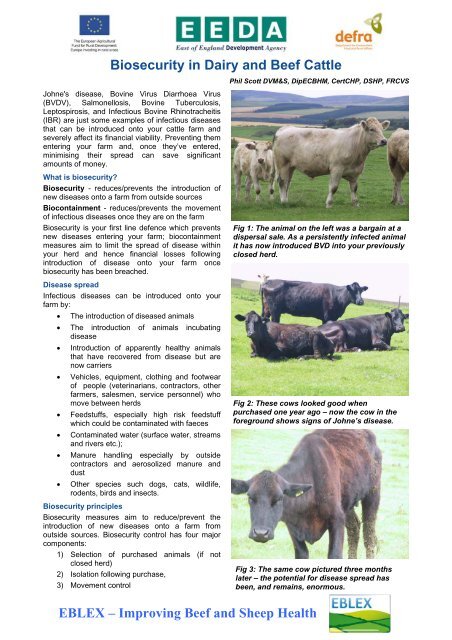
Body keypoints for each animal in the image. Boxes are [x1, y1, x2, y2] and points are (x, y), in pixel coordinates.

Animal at [231, 429, 382, 559]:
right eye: (250, 497)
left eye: (279, 498)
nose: (260, 533)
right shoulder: (292, 526)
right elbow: (302, 554)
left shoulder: (337, 519)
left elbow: (335, 555)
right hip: (347, 502)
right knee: (354, 527)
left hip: (373, 493)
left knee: (369, 536)